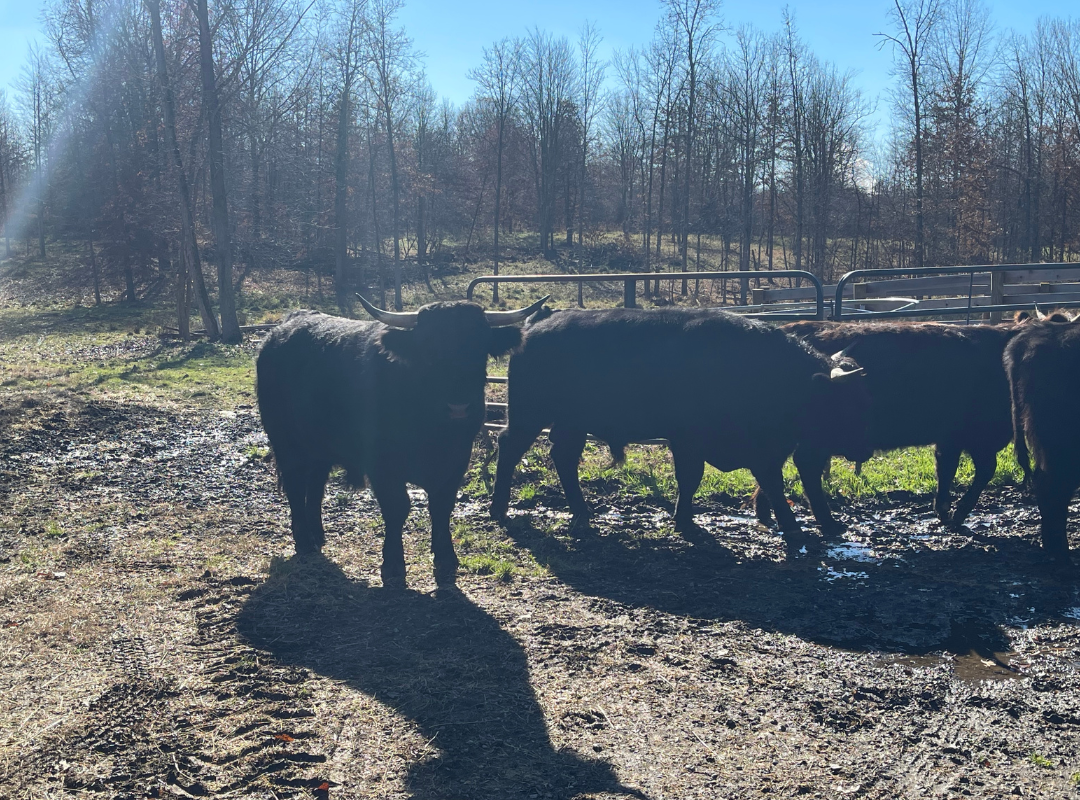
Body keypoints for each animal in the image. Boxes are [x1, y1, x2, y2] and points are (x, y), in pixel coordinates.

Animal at [256, 295, 547, 588]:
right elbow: (397, 507)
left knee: (315, 487)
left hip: (319, 449)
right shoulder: (382, 466)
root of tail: (286, 325)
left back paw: (317, 536)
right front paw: (393, 564)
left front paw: (446, 557)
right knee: (295, 487)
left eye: (480, 348)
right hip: (286, 443)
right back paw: (304, 541)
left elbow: (442, 506)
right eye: (428, 351)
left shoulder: (456, 461)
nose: (458, 406)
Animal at [489, 307, 871, 538]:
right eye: (843, 404)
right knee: (510, 447)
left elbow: (767, 483)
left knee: (564, 458)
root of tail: (536, 325)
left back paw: (582, 513)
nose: (866, 449)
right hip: (529, 415)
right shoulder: (691, 441)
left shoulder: (764, 451)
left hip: (572, 424)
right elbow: (694, 478)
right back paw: (498, 509)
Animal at [755, 320, 1018, 533]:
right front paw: (957, 514)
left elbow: (946, 469)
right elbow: (983, 470)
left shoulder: (951, 438)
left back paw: (765, 512)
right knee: (805, 465)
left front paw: (943, 511)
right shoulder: (978, 437)